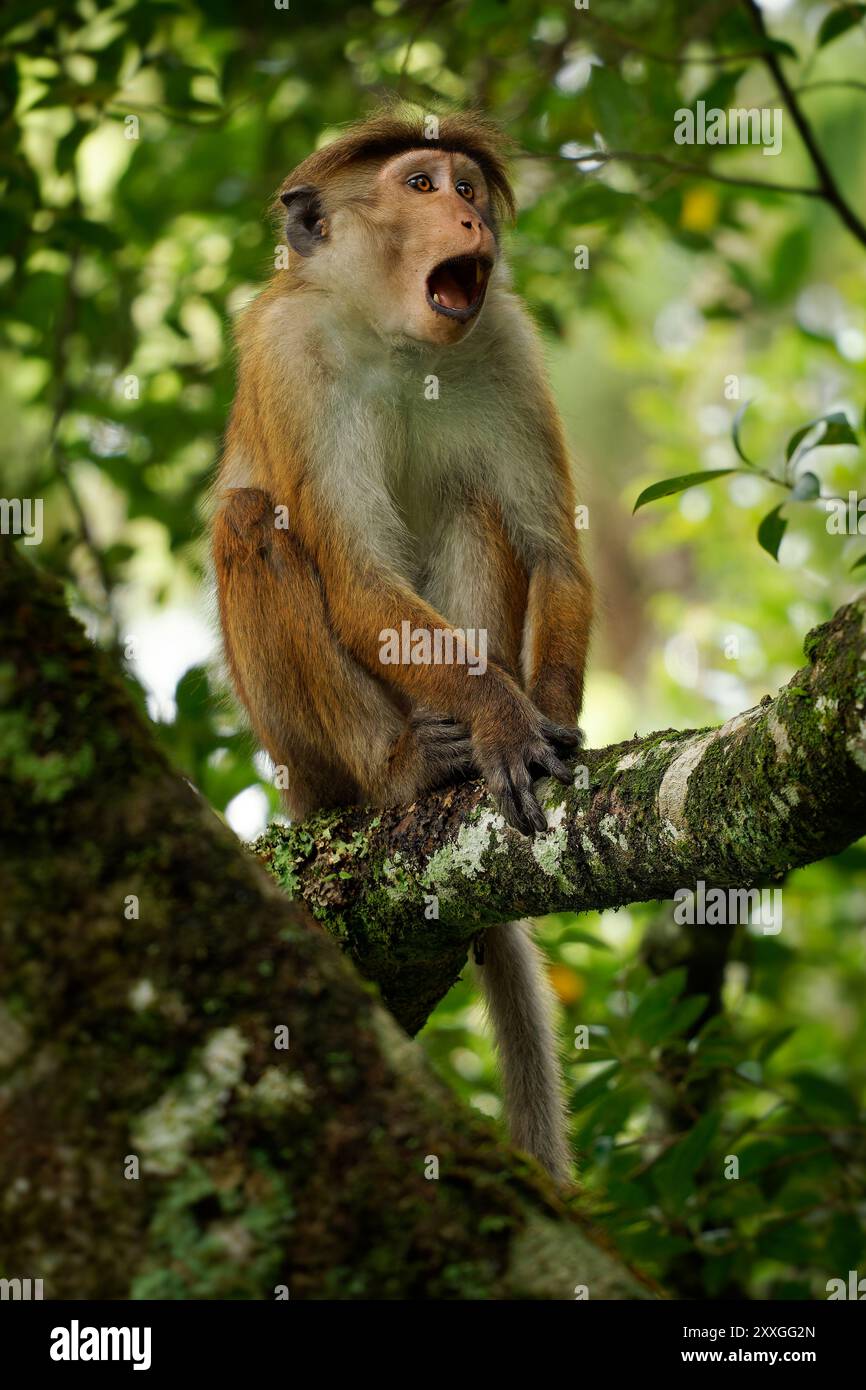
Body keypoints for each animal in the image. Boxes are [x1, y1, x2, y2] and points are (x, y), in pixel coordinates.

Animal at [211, 106, 593, 1183]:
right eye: (420, 185)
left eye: (464, 185)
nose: (469, 216)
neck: (394, 340)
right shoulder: (290, 355)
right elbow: (354, 578)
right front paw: (503, 721)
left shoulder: (505, 340)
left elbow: (554, 554)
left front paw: (539, 712)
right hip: (301, 752)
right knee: (251, 519)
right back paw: (403, 770)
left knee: (477, 501)